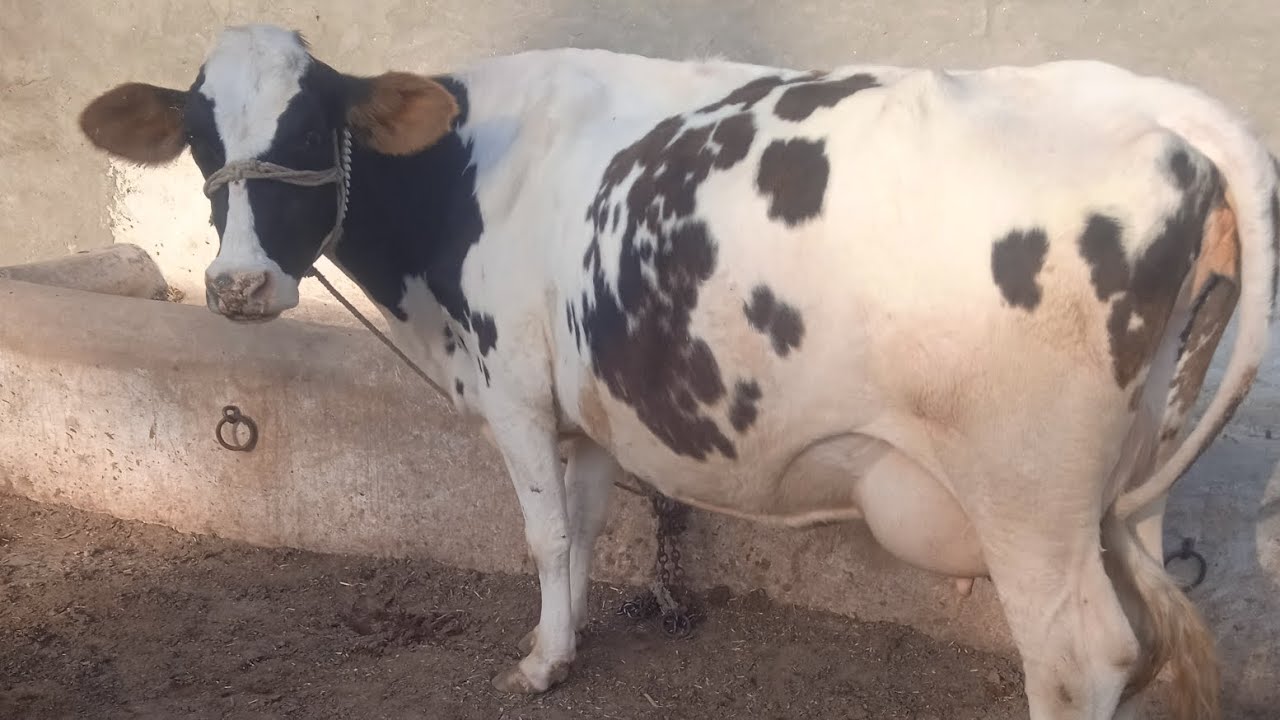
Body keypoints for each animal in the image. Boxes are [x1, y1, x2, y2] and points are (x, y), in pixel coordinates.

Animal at [77, 23, 1277, 720]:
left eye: (310, 128)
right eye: (199, 138)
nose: (236, 286)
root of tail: (1143, 99)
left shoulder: (513, 384)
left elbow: (542, 531)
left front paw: (536, 665)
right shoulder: (588, 403)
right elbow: (584, 524)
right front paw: (563, 644)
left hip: (1026, 487)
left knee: (1081, 655)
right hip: (1129, 472)